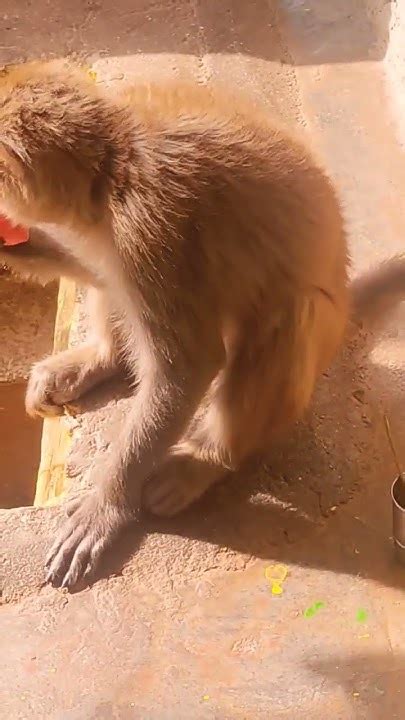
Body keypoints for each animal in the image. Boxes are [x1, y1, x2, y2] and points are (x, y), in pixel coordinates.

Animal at [1, 60, 405, 589]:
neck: (113, 165)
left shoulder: (148, 227)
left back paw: (208, 460)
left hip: (317, 334)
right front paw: (19, 249)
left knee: (288, 314)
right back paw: (104, 360)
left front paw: (105, 507)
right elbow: (100, 268)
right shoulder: (116, 230)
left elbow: (188, 367)